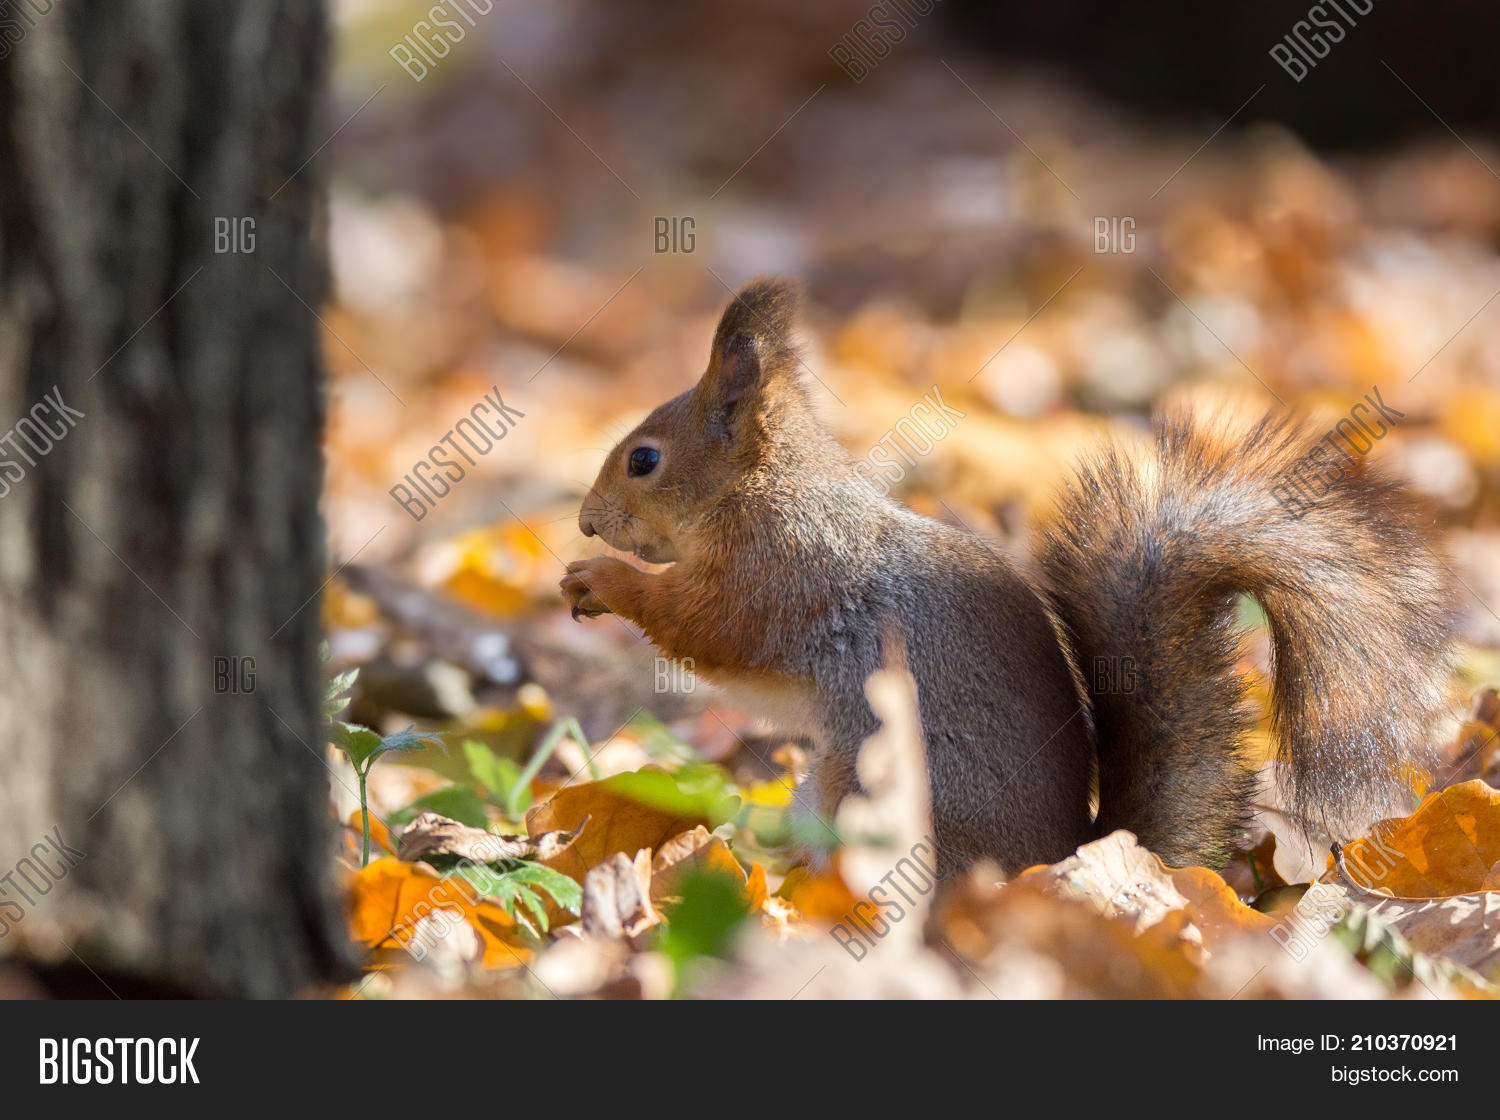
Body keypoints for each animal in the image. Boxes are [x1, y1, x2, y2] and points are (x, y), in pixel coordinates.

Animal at [561, 277, 1456, 874]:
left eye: (644, 461)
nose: (587, 521)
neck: (770, 488)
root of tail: (1056, 863)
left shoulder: (778, 569)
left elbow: (706, 629)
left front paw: (601, 579)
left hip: (883, 787)